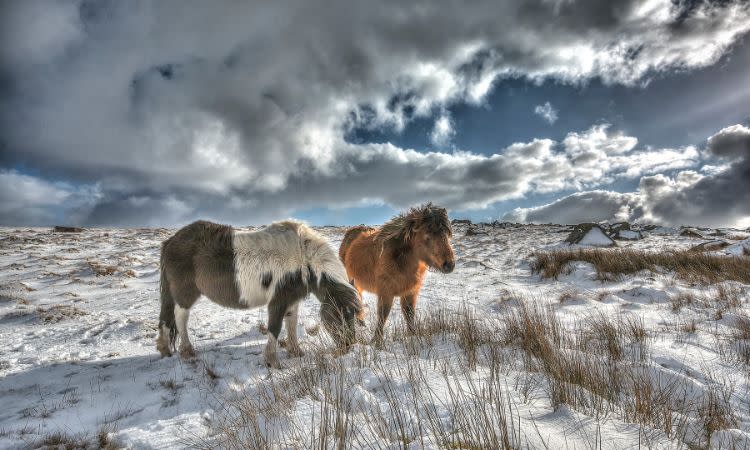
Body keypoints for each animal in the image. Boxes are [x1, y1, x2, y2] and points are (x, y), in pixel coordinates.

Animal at [155, 220, 360, 368]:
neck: (303, 259)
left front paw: (296, 352)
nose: (349, 346)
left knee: (167, 319)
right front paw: (273, 362)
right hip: (185, 293)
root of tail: (170, 241)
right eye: (340, 314)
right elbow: (275, 328)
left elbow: (292, 324)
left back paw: (165, 350)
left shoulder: (292, 300)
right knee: (180, 317)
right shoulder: (278, 301)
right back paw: (187, 351)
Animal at [338, 203, 455, 343]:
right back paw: (360, 321)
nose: (449, 264)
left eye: (447, 234)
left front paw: (413, 336)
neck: (402, 261)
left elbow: (409, 314)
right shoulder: (386, 292)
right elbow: (383, 314)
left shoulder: (410, 292)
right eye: (428, 235)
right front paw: (376, 340)